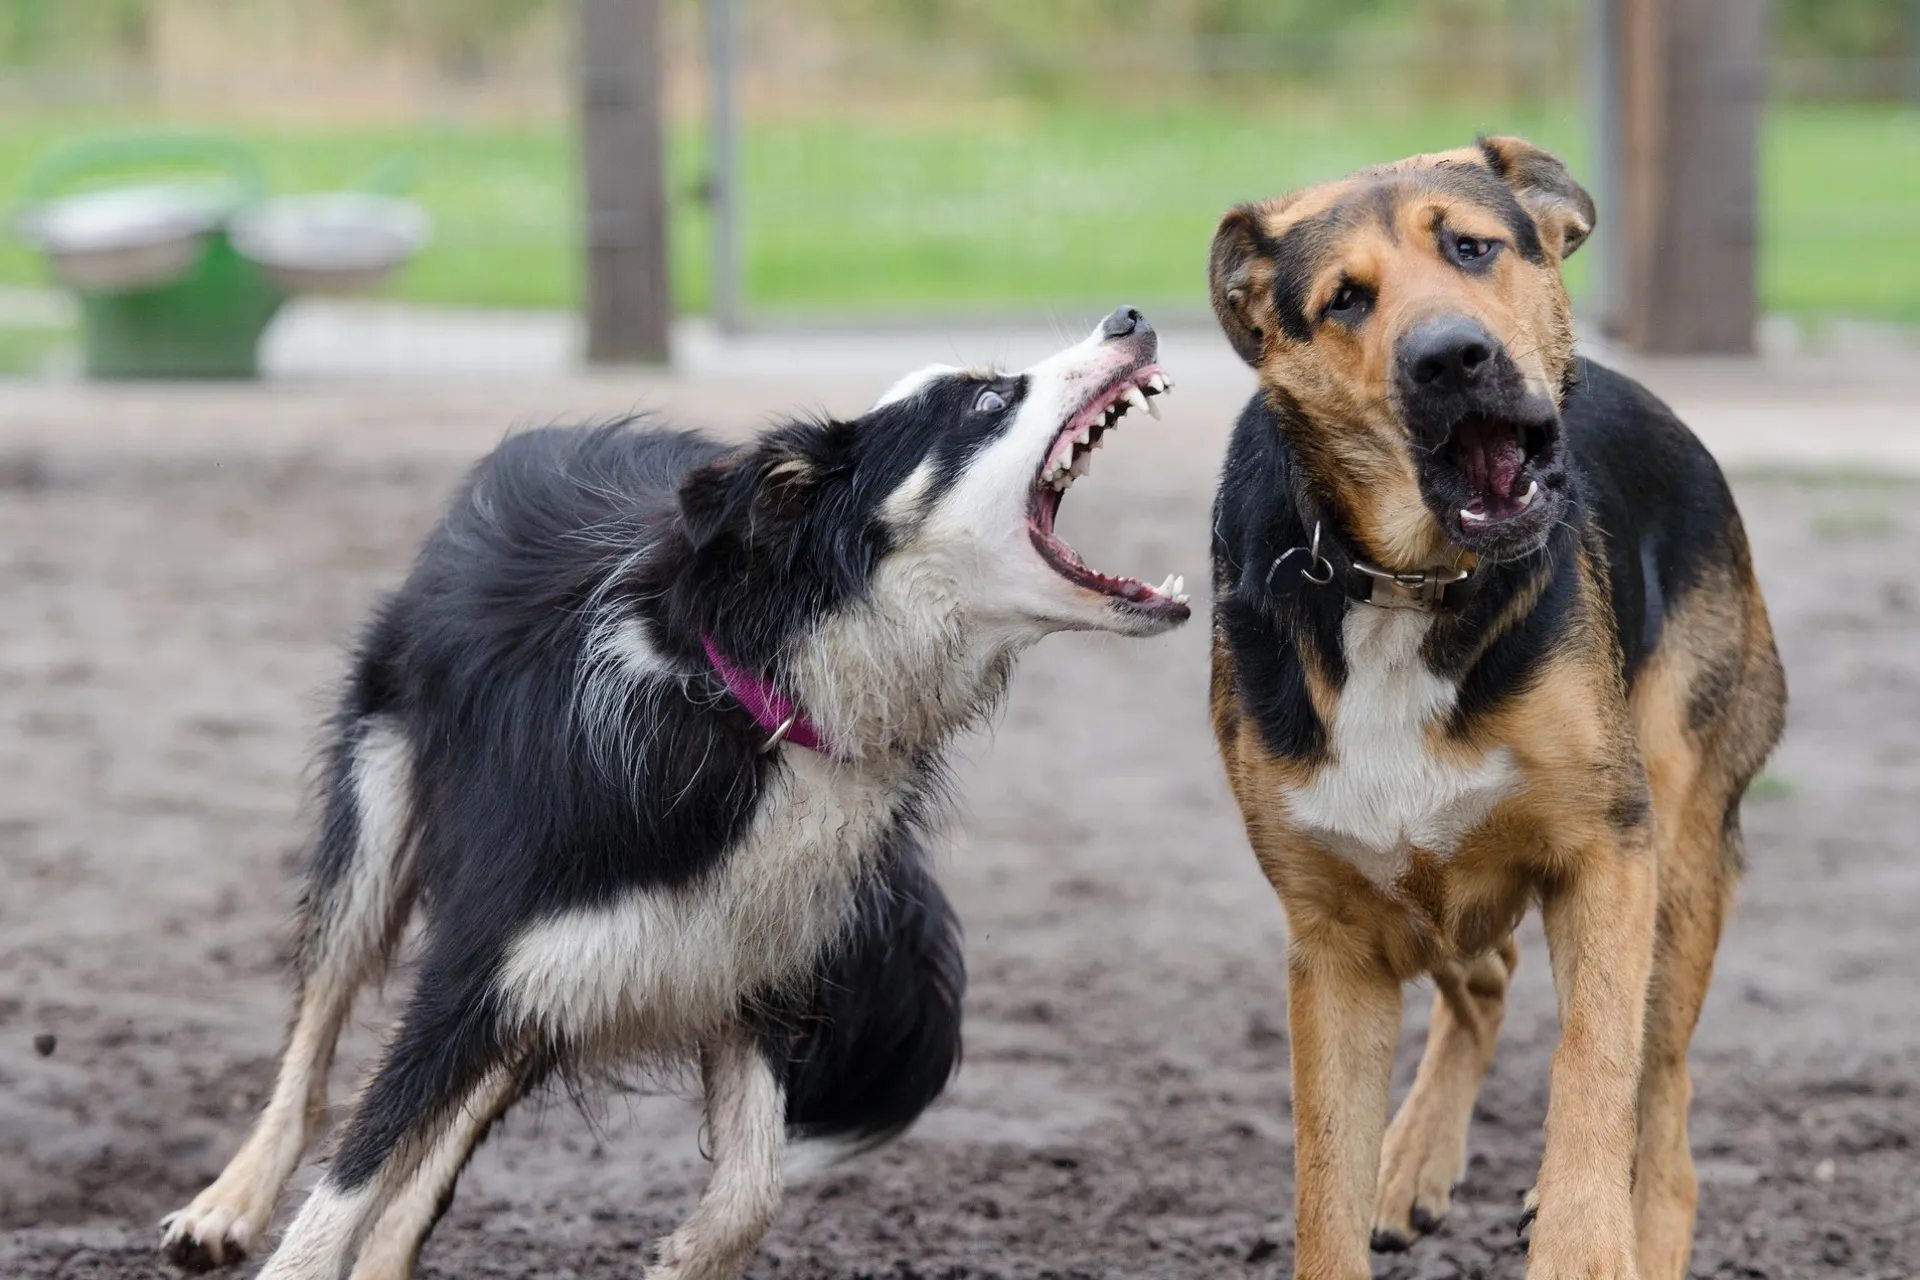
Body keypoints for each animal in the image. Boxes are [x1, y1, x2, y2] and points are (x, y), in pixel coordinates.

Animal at [161, 310, 1182, 1280]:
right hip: (381, 811)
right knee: (318, 1037)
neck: (766, 696)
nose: (1132, 319)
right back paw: (225, 1207)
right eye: (987, 401)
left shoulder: (744, 965)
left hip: (579, 975)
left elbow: (753, 1187)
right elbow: (350, 1176)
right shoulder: (483, 960)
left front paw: (686, 1256)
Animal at [1213, 135, 1781, 1274]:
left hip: (1680, 853)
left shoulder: (1608, 853)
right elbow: (1322, 1180)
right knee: (1485, 977)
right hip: (1432, 887)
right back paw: (1413, 1159)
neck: (1402, 584)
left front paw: (1584, 1238)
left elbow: (1594, 1070)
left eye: (1472, 248)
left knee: (1665, 1101)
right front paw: (1373, 1174)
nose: (1449, 358)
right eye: (1345, 299)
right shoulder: (1332, 938)